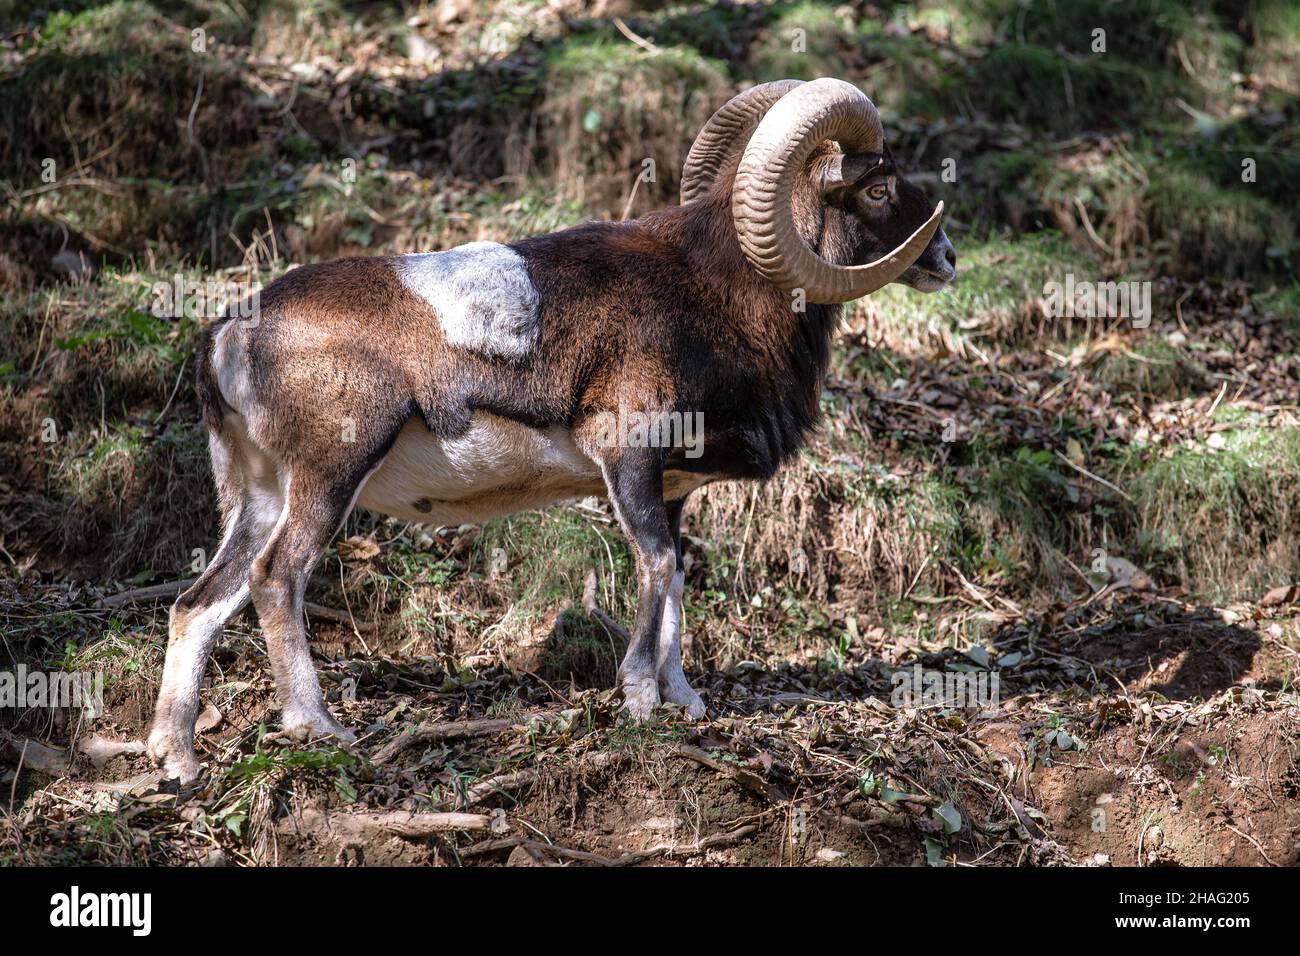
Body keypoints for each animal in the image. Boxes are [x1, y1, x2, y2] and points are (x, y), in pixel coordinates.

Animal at [148, 78, 957, 783]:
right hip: (328, 480)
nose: (946, 257)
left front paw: (684, 700)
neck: (720, 295)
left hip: (259, 497)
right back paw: (317, 728)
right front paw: (640, 702)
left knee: (200, 604)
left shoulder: (672, 490)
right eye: (878, 188)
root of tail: (233, 334)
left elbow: (676, 580)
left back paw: (175, 761)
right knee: (275, 579)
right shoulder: (628, 462)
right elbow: (656, 567)